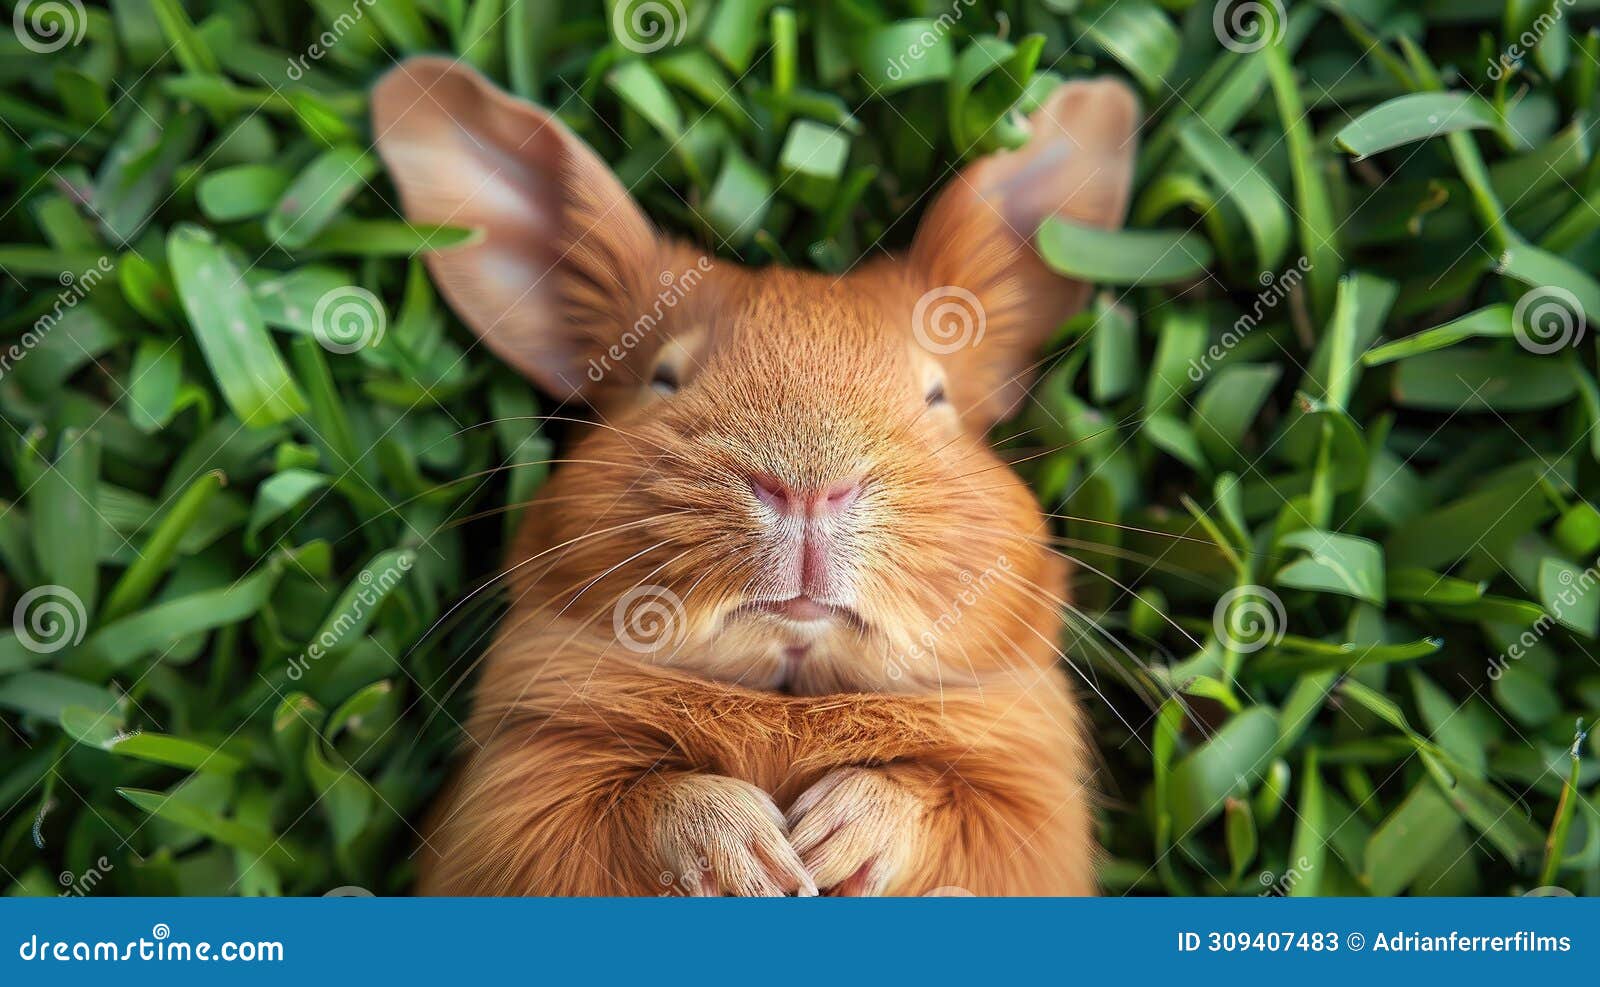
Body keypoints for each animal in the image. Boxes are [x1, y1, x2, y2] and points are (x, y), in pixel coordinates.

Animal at [371, 56, 1139, 896]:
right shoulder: (518, 791)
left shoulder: (1028, 805)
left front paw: (831, 839)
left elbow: (933, 801)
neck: (787, 692)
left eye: (936, 395)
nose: (808, 489)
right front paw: (755, 857)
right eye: (664, 377)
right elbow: (646, 806)